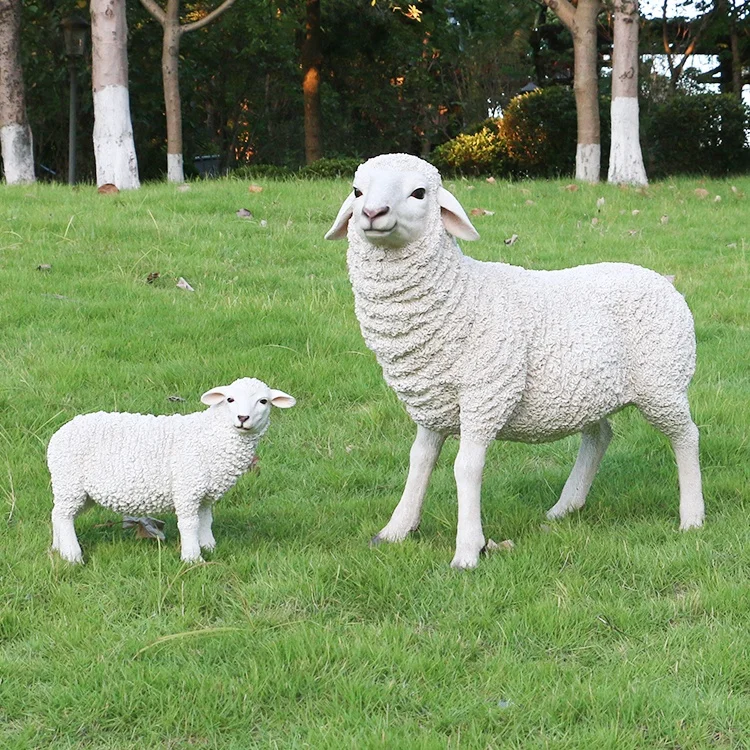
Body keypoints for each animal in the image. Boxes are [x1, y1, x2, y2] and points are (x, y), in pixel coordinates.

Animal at [47, 378, 295, 564]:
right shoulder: (187, 487)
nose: (243, 418)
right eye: (230, 399)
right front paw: (193, 558)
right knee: (63, 516)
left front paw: (209, 546)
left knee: (58, 514)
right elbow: (189, 523)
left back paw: (57, 549)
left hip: (80, 490)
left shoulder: (204, 494)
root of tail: (59, 434)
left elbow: (205, 520)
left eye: (263, 401)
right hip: (69, 481)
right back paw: (72, 555)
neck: (212, 435)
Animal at [325, 152, 704, 569]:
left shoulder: (486, 395)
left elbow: (466, 468)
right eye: (357, 191)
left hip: (662, 382)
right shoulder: (433, 404)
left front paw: (467, 551)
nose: (372, 213)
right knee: (599, 435)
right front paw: (395, 531)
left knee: (686, 436)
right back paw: (565, 507)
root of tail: (664, 281)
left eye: (419, 193)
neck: (461, 296)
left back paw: (692, 517)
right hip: (588, 390)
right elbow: (419, 461)